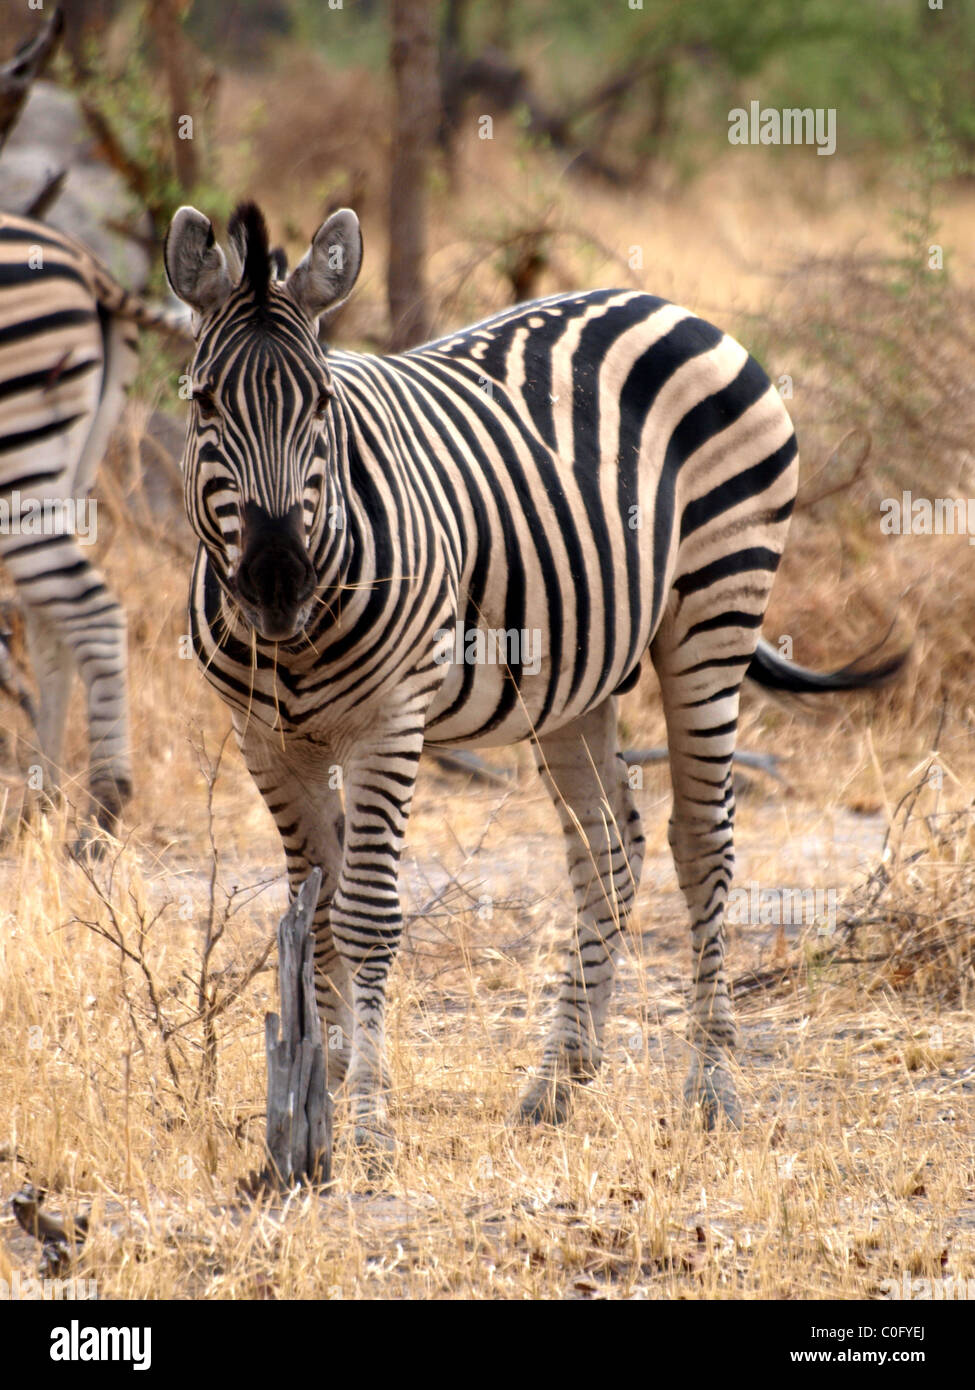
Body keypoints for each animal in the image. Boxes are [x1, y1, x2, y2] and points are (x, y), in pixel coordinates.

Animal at [0, 210, 181, 840]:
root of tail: (85, 259)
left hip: (20, 466)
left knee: (91, 614)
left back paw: (101, 806)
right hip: (68, 468)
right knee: (51, 627)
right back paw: (38, 805)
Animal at [164, 200, 901, 1158]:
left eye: (322, 403)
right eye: (206, 401)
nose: (278, 581)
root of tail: (662, 300)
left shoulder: (388, 724)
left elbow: (363, 916)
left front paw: (366, 1120)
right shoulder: (264, 740)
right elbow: (310, 916)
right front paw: (313, 1098)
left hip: (714, 608)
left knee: (698, 842)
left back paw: (711, 1086)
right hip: (573, 674)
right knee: (608, 843)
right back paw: (558, 1078)